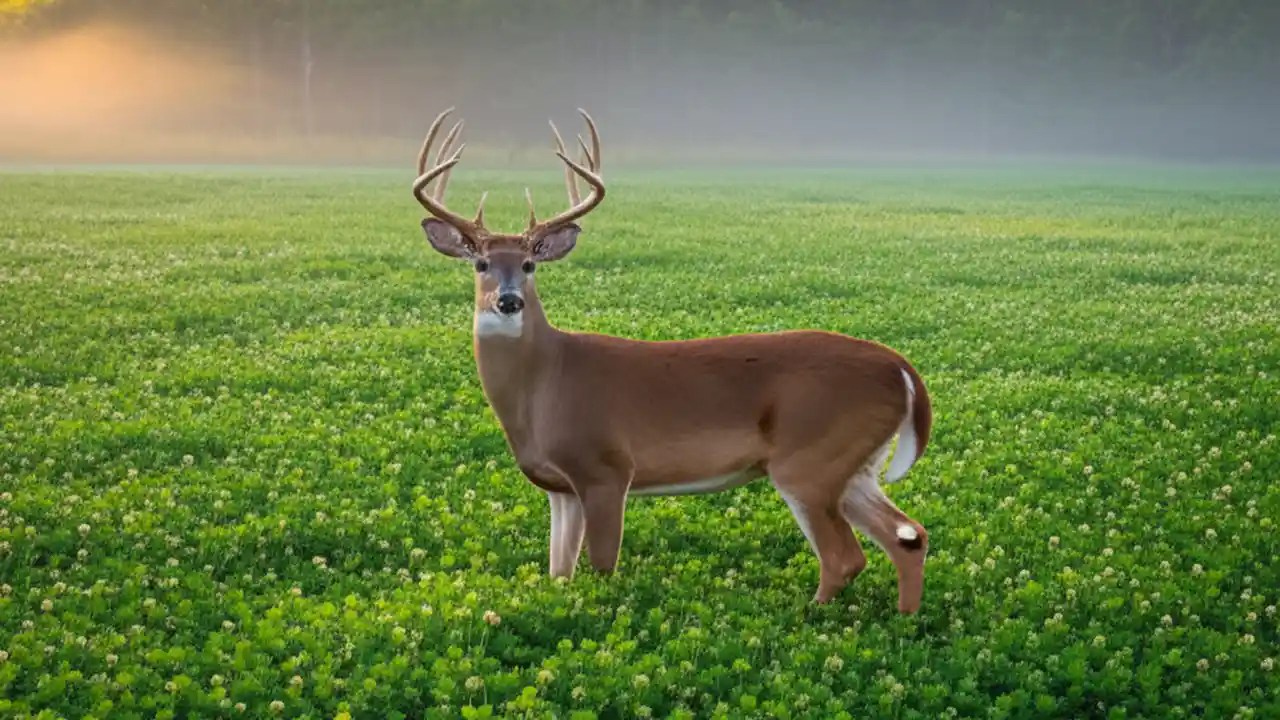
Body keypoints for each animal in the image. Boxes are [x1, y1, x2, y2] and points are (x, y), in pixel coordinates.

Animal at [410, 107, 935, 613]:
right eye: (481, 263)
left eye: (528, 264)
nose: (508, 301)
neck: (544, 386)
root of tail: (902, 369)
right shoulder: (560, 488)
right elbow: (560, 572)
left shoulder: (605, 467)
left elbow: (602, 567)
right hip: (853, 465)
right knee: (907, 537)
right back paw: (904, 619)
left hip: (809, 459)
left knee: (845, 555)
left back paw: (814, 616)